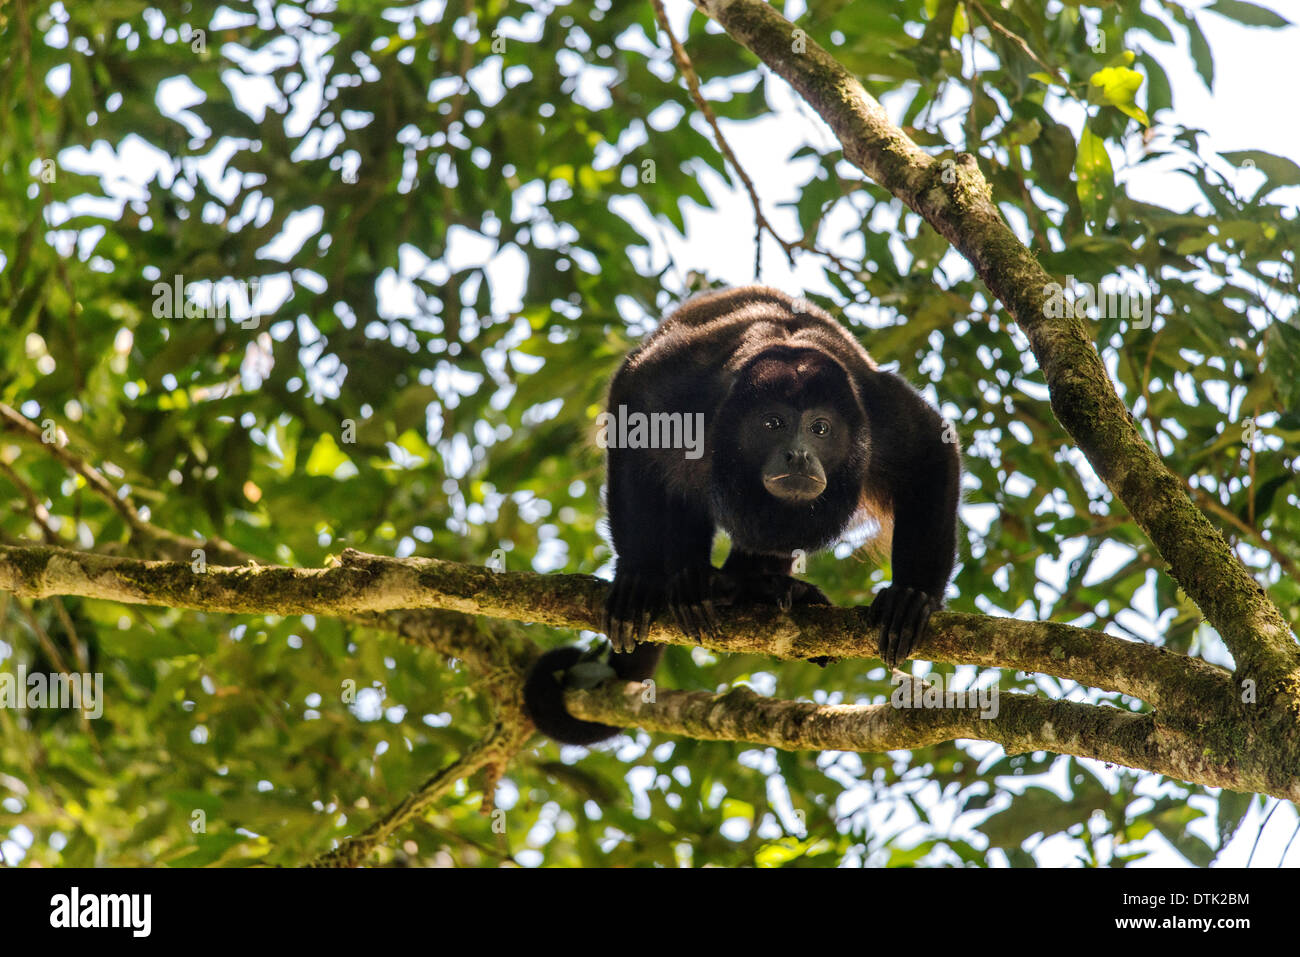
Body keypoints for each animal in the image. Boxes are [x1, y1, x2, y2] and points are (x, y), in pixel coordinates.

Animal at [523, 286, 960, 746]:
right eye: (773, 423)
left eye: (820, 428)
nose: (799, 454)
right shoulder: (685, 394)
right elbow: (633, 418)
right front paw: (639, 578)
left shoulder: (875, 411)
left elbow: (931, 446)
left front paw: (911, 597)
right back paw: (694, 583)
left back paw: (757, 586)